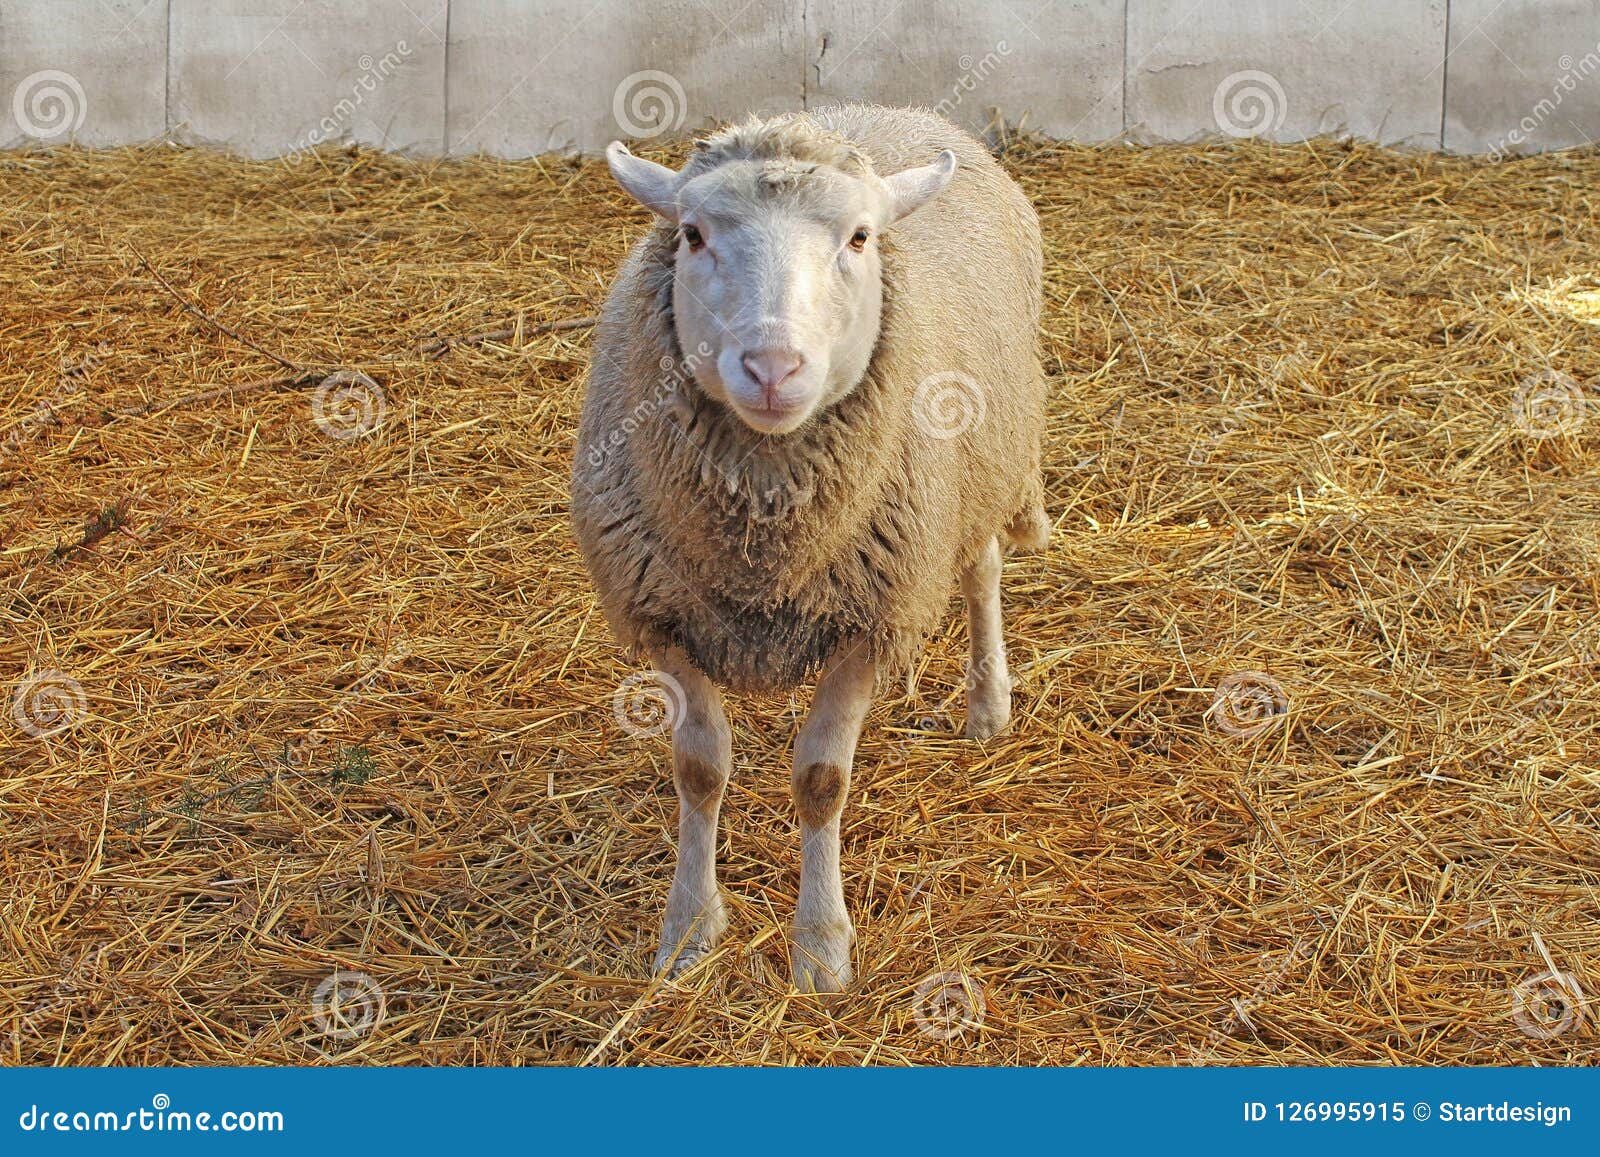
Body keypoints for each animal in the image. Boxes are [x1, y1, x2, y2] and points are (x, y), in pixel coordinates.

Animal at [570, 104, 1048, 992]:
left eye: (859, 238)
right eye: (692, 235)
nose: (772, 366)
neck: (765, 542)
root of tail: (897, 112)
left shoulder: (873, 613)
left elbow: (822, 780)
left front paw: (821, 946)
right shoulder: (663, 611)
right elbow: (700, 769)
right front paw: (688, 928)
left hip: (978, 471)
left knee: (981, 569)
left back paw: (986, 704)